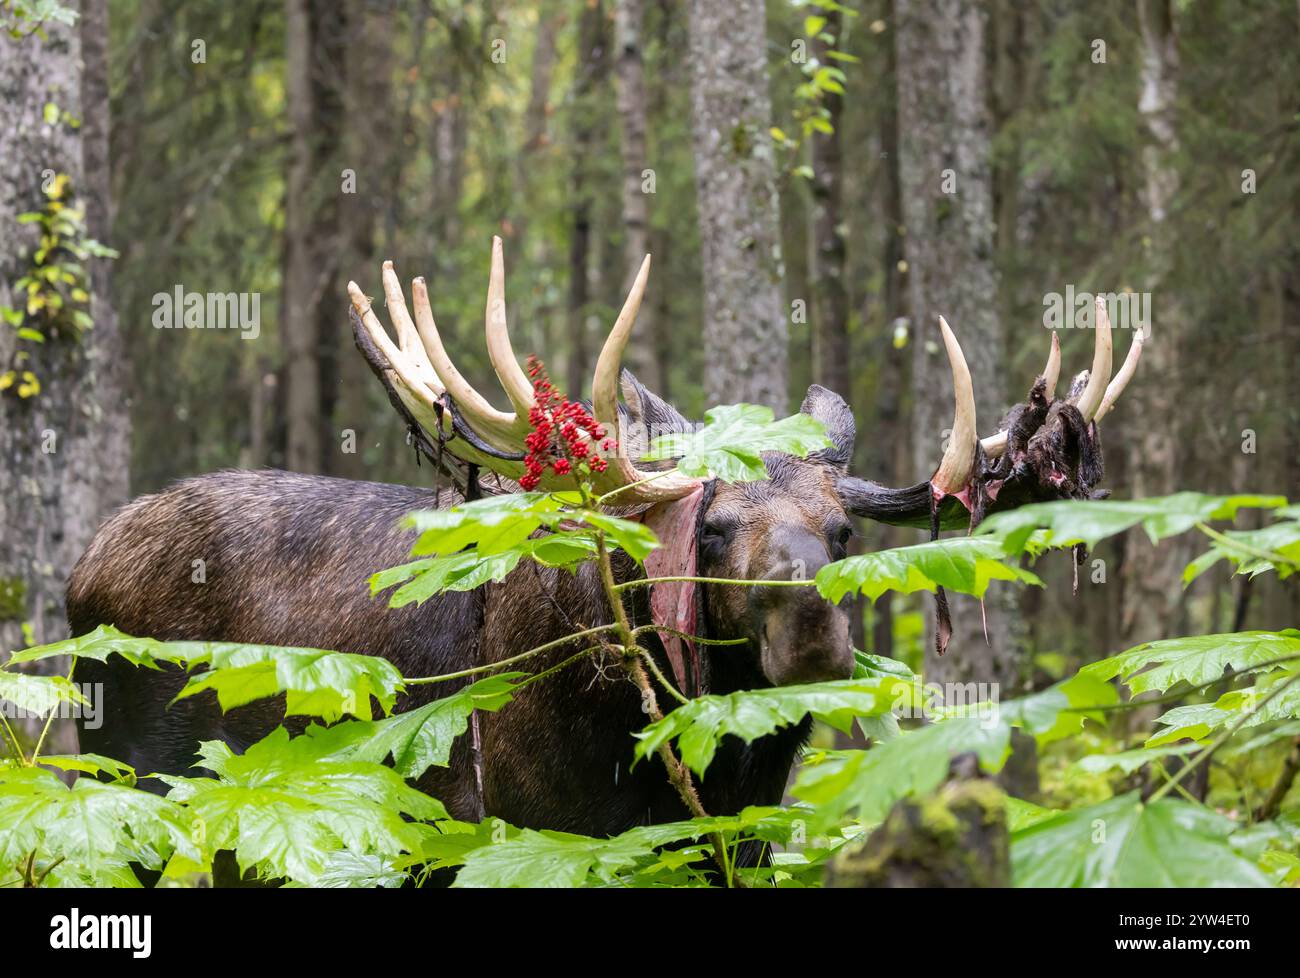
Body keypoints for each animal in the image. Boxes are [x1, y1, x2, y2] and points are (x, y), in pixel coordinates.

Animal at [70, 238, 1142, 856]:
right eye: (712, 525)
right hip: (133, 787)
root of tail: (81, 569)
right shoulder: (534, 824)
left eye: (843, 531)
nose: (812, 639)